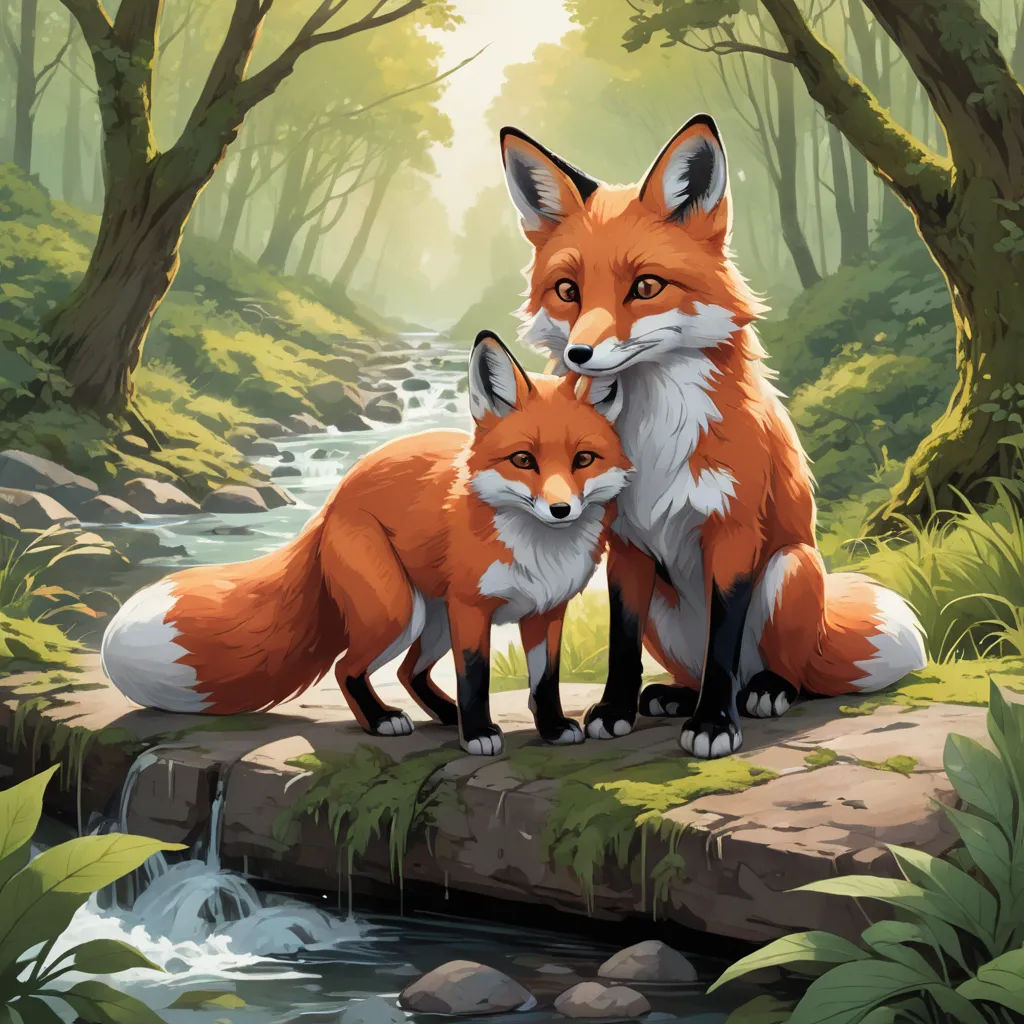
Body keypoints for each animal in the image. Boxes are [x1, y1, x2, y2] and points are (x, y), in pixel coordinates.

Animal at [101, 331, 631, 755]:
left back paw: (443, 715)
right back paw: (384, 721)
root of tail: (335, 496)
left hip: (431, 620)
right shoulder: (471, 609)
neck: (537, 550)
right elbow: (475, 678)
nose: (560, 510)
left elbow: (545, 680)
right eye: (523, 460)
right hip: (399, 612)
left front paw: (552, 728)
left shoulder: (546, 611)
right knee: (347, 669)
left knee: (408, 673)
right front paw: (479, 732)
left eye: (583, 459)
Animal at [498, 114, 927, 760]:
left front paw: (714, 725)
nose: (579, 354)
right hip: (667, 606)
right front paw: (616, 709)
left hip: (789, 569)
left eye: (646, 287)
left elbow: (722, 641)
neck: (651, 438)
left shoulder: (733, 532)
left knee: (781, 672)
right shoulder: (625, 545)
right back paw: (672, 695)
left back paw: (765, 691)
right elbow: (621, 642)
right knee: (692, 666)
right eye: (568, 291)